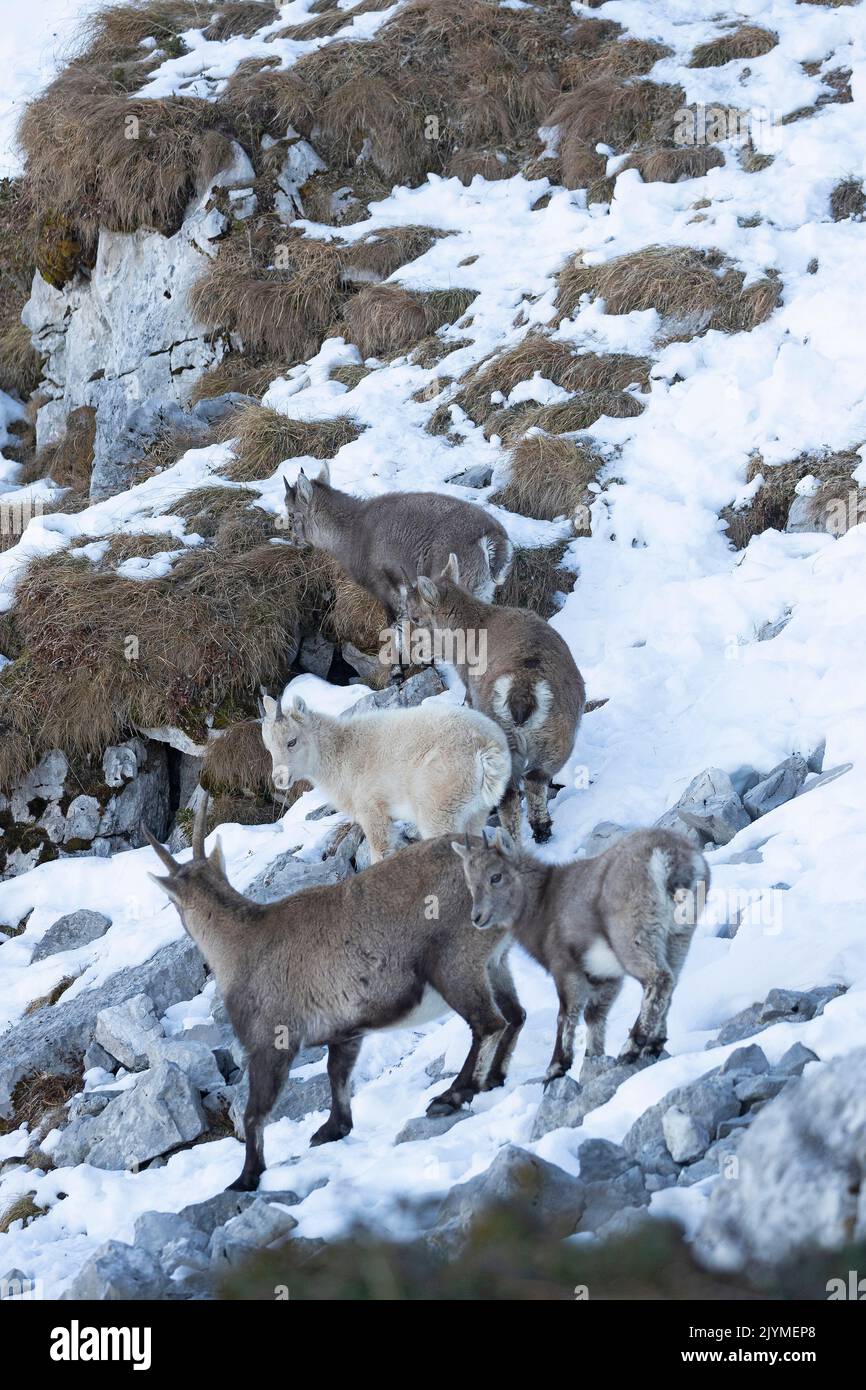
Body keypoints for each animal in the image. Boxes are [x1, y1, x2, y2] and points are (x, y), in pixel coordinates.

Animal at [145, 799, 525, 1191]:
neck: (239, 943)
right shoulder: (346, 1032)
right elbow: (336, 1074)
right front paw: (332, 1129)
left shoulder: (270, 1039)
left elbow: (254, 1113)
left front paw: (247, 1177)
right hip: (495, 963)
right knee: (515, 1015)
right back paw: (493, 1078)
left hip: (454, 963)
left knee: (488, 1024)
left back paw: (453, 1095)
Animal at [260, 691, 510, 861]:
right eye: (268, 747)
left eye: (291, 741)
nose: (280, 780)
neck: (342, 752)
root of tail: (486, 749)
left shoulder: (372, 813)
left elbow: (380, 852)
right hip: (475, 813)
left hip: (439, 813)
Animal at [399, 554, 586, 843]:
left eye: (416, 617)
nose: (408, 656)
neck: (475, 625)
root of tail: (523, 689)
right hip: (555, 738)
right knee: (533, 780)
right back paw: (540, 829)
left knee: (512, 792)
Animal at [452, 826, 709, 1079]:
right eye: (469, 883)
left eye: (496, 876)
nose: (477, 917)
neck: (543, 904)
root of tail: (669, 858)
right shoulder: (606, 976)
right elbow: (594, 1015)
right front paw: (593, 1058)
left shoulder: (565, 968)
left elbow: (566, 1014)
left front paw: (557, 1066)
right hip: (677, 937)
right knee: (671, 983)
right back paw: (654, 1044)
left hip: (632, 937)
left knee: (659, 980)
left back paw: (631, 1047)